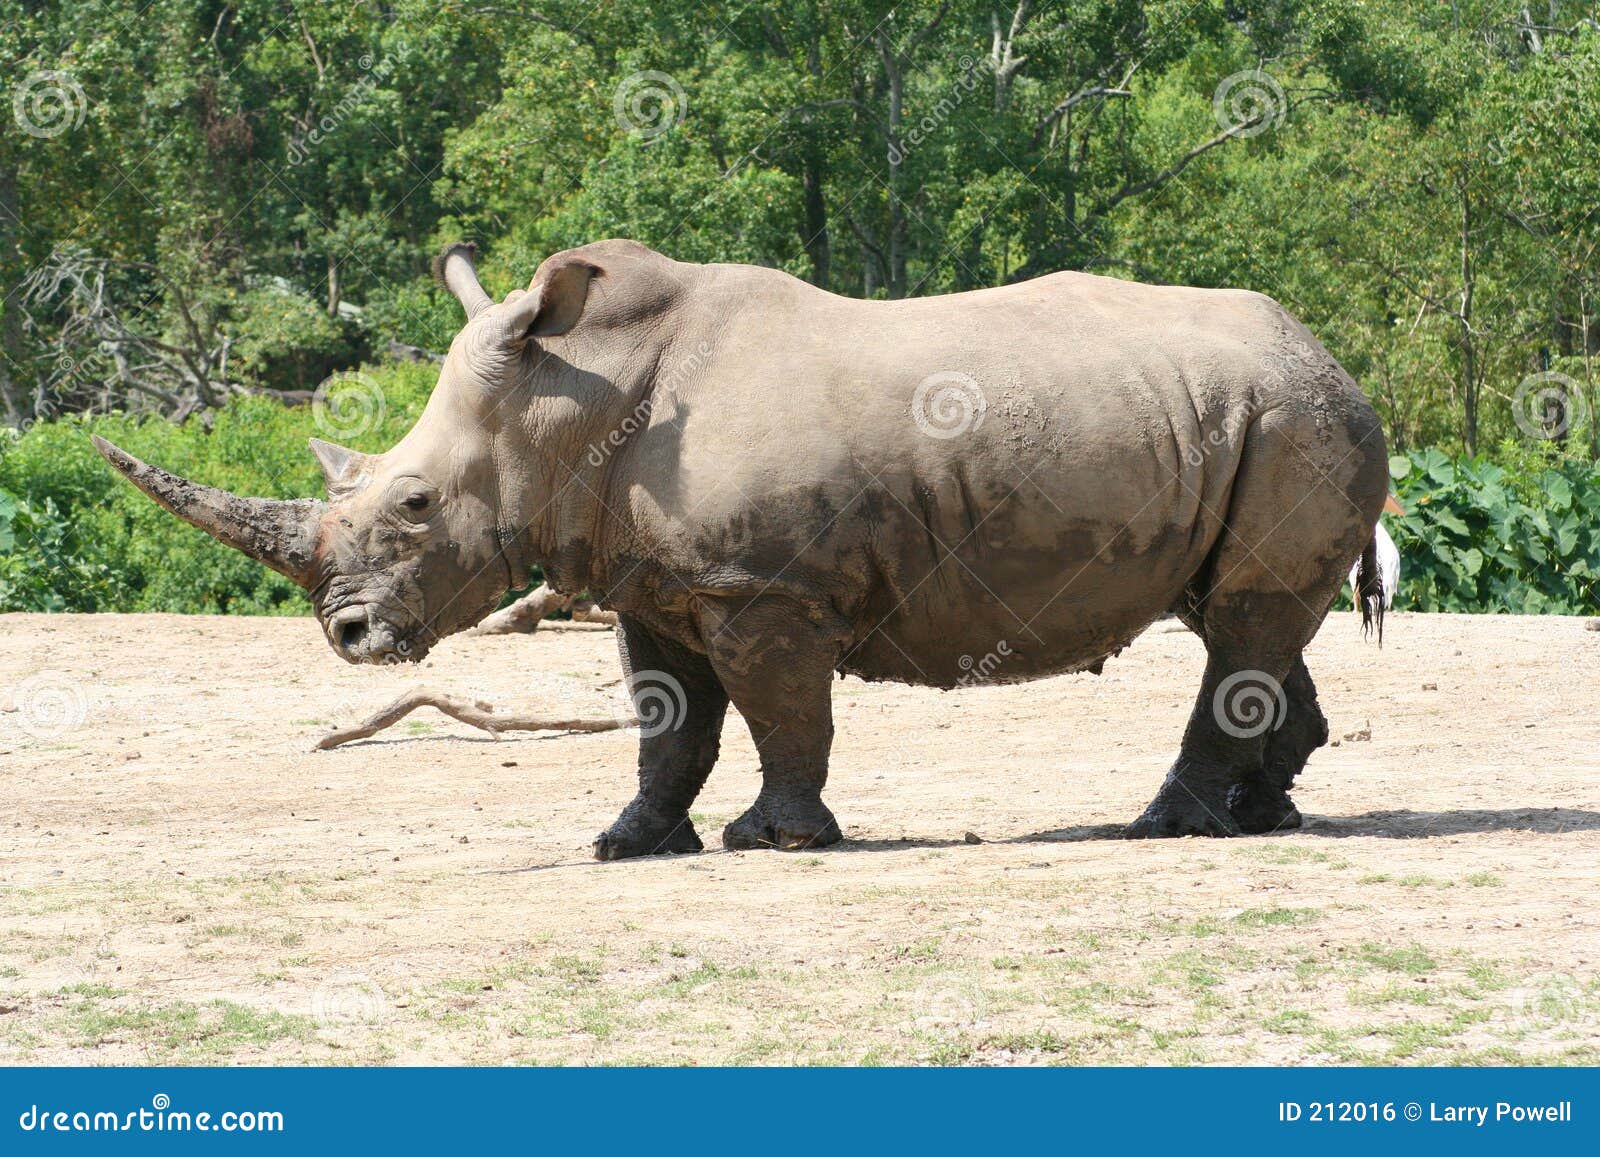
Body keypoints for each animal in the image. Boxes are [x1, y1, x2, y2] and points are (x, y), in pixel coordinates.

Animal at [94, 239, 1389, 858]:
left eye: (414, 504)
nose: (348, 633)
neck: (568, 403)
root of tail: (1330, 351)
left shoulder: (766, 585)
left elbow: (779, 710)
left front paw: (776, 838)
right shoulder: (646, 580)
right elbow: (670, 723)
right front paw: (627, 843)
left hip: (1296, 418)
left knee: (1244, 618)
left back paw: (1168, 825)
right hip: (1257, 416)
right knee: (1239, 614)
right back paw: (1255, 817)